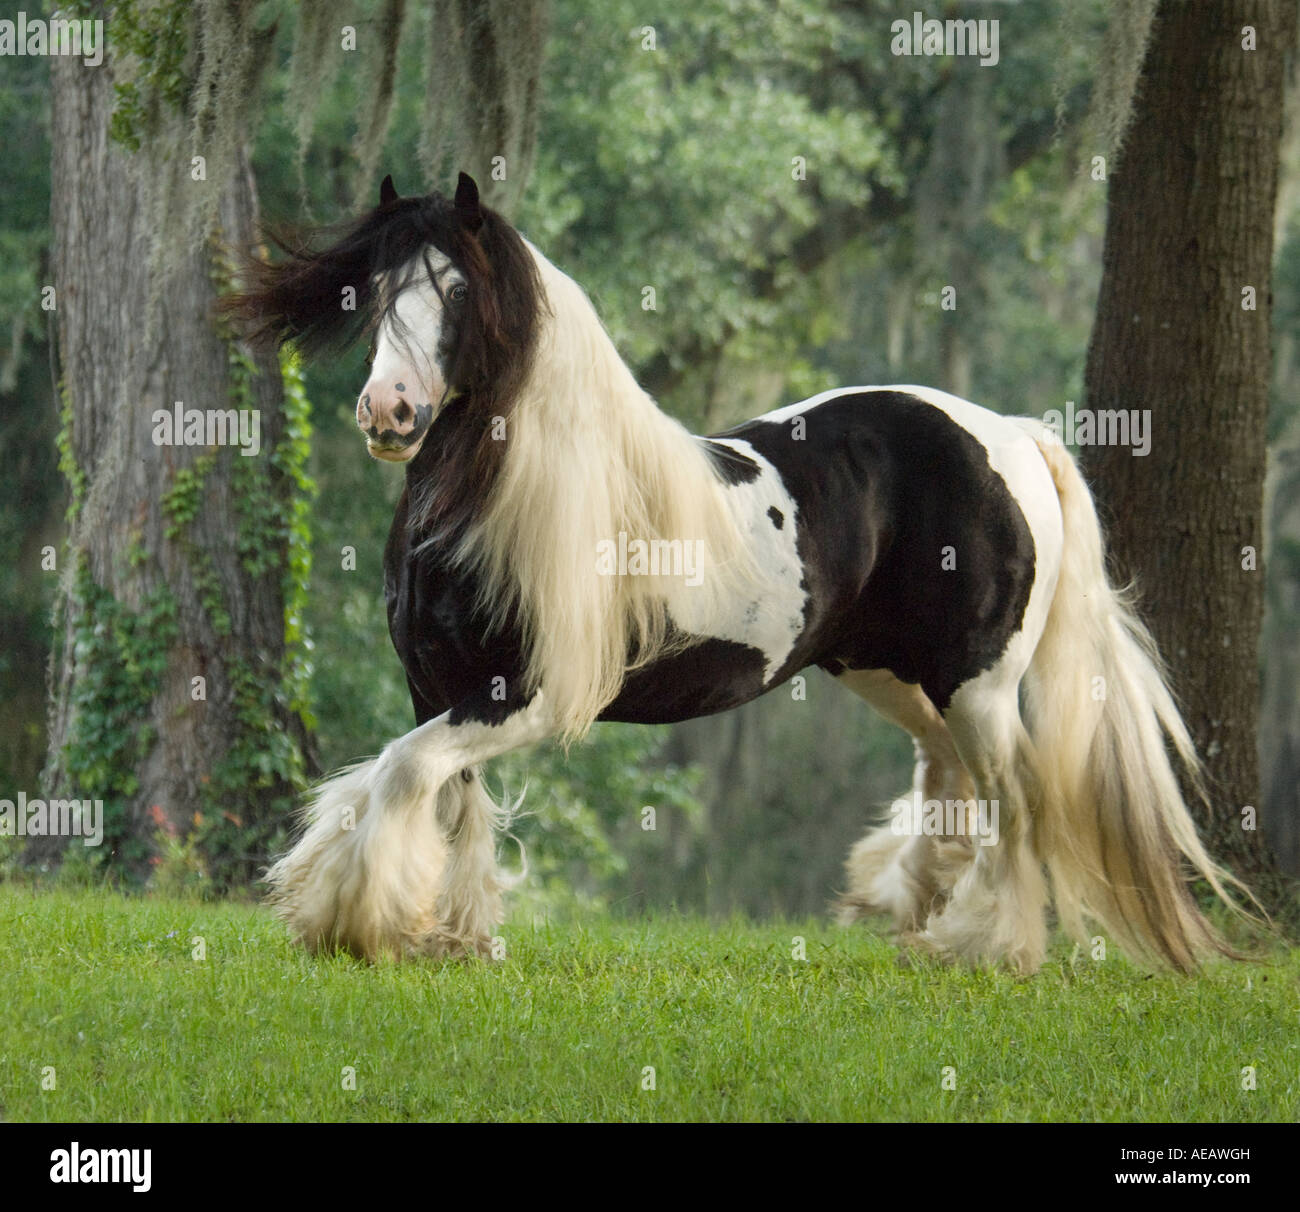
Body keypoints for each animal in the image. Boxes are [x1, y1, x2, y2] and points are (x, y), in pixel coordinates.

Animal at [226, 172, 1248, 975]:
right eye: (372, 292)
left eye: (455, 290)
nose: (389, 414)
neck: (499, 502)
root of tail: (1013, 435)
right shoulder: (436, 686)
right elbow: (448, 805)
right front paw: (451, 936)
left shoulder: (525, 696)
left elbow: (401, 775)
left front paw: (354, 924)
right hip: (899, 675)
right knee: (947, 775)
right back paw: (915, 918)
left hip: (979, 684)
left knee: (1016, 801)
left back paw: (991, 948)